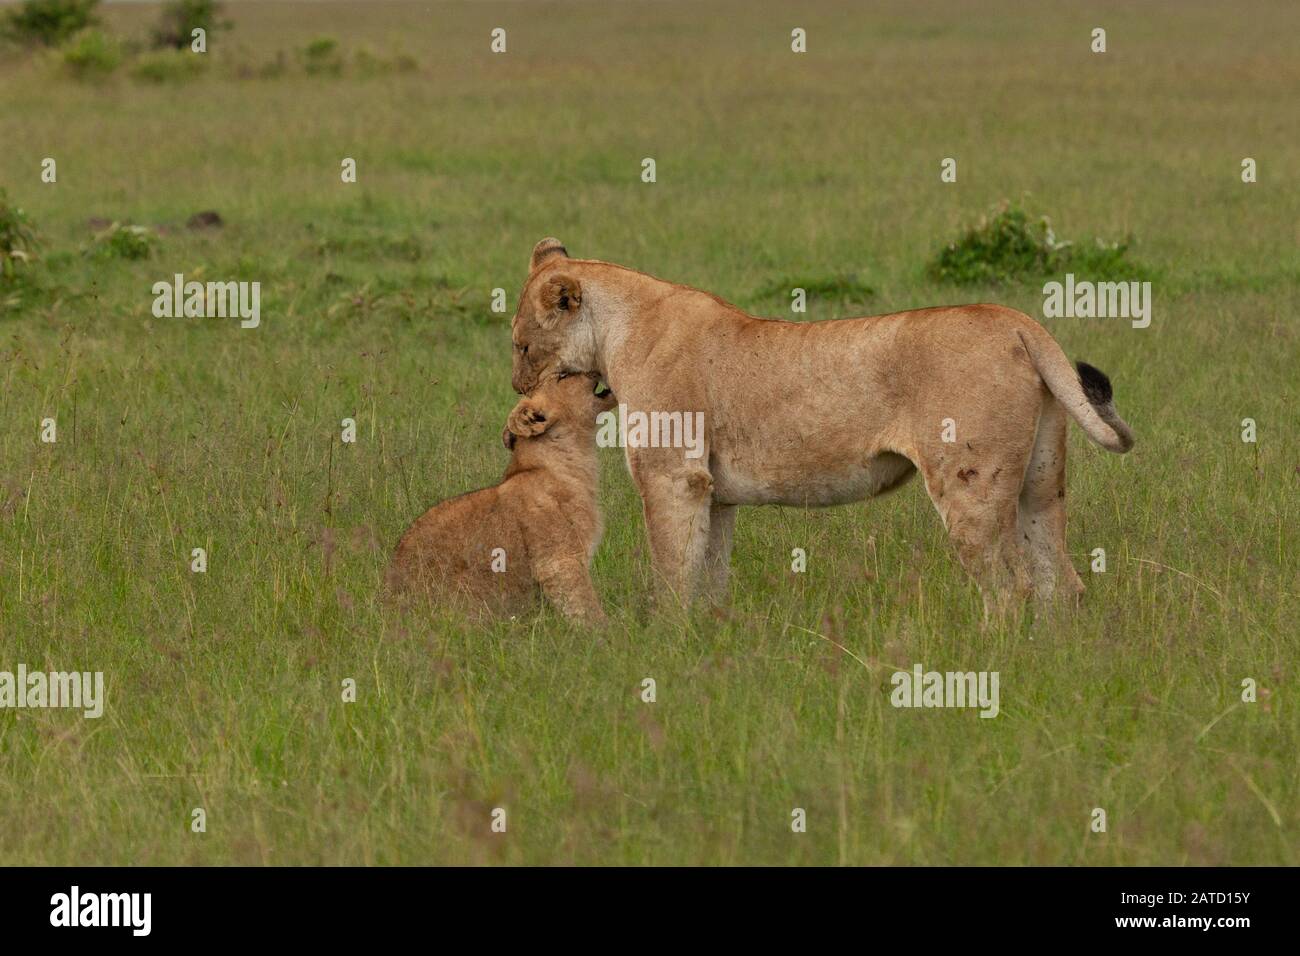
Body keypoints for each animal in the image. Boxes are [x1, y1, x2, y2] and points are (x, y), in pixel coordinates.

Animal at [510, 238, 1134, 608]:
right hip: (1039, 483)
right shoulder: (713, 492)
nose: (515, 387)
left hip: (970, 486)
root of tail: (1017, 321)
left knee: (1011, 587)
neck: (616, 333)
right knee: (1062, 582)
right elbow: (709, 576)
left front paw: (666, 644)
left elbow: (673, 574)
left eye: (520, 345)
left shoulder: (672, 478)